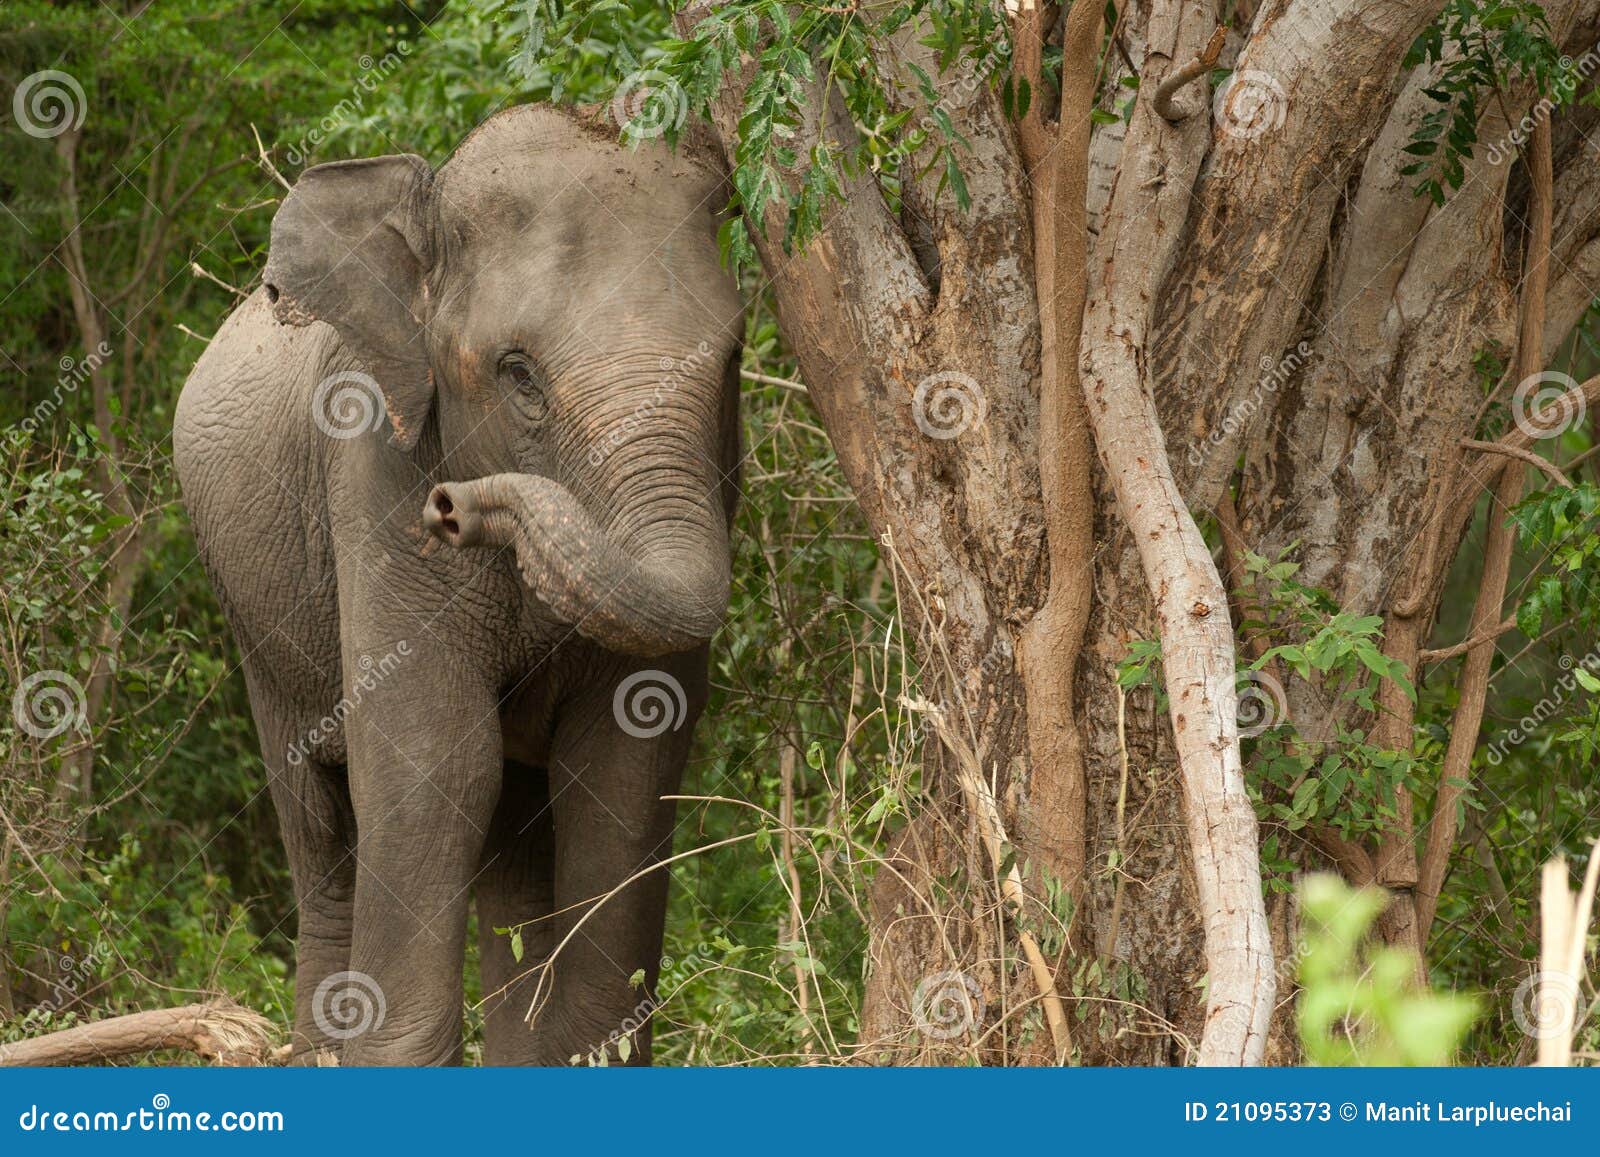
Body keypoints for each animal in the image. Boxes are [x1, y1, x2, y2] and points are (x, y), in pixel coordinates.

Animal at [173, 104, 743, 1065]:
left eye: (735, 357)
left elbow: (624, 762)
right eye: (518, 373)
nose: (449, 507)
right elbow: (435, 756)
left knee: (515, 842)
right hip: (253, 618)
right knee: (321, 829)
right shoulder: (373, 469)